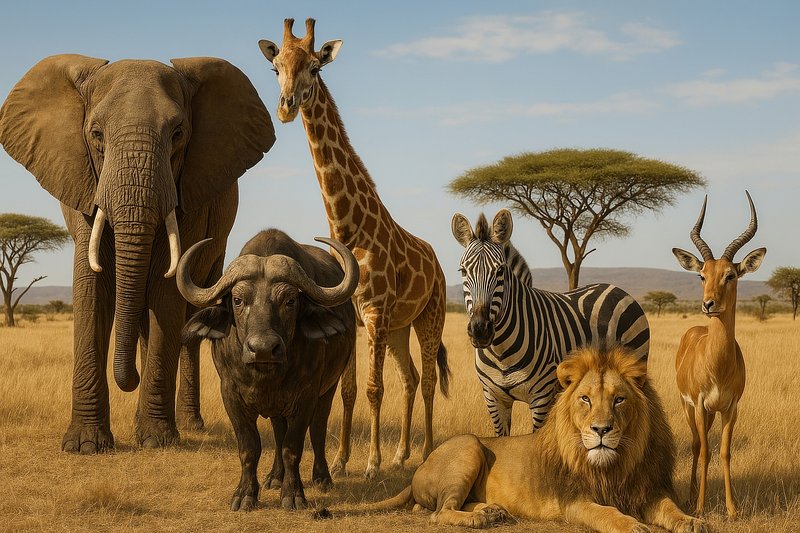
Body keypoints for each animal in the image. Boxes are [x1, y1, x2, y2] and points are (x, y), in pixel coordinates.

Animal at [0, 54, 276, 452]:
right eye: (96, 134)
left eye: (178, 134)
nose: (128, 379)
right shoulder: (84, 183)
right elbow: (92, 287)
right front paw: (86, 446)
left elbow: (166, 290)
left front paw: (157, 441)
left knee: (192, 320)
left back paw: (189, 425)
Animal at [177, 229, 358, 512]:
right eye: (238, 300)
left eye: (290, 301)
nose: (263, 349)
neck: (265, 376)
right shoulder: (230, 394)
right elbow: (250, 446)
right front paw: (245, 495)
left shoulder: (306, 395)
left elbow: (292, 446)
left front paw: (293, 494)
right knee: (278, 429)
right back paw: (275, 477)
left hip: (329, 388)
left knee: (317, 429)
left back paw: (322, 478)